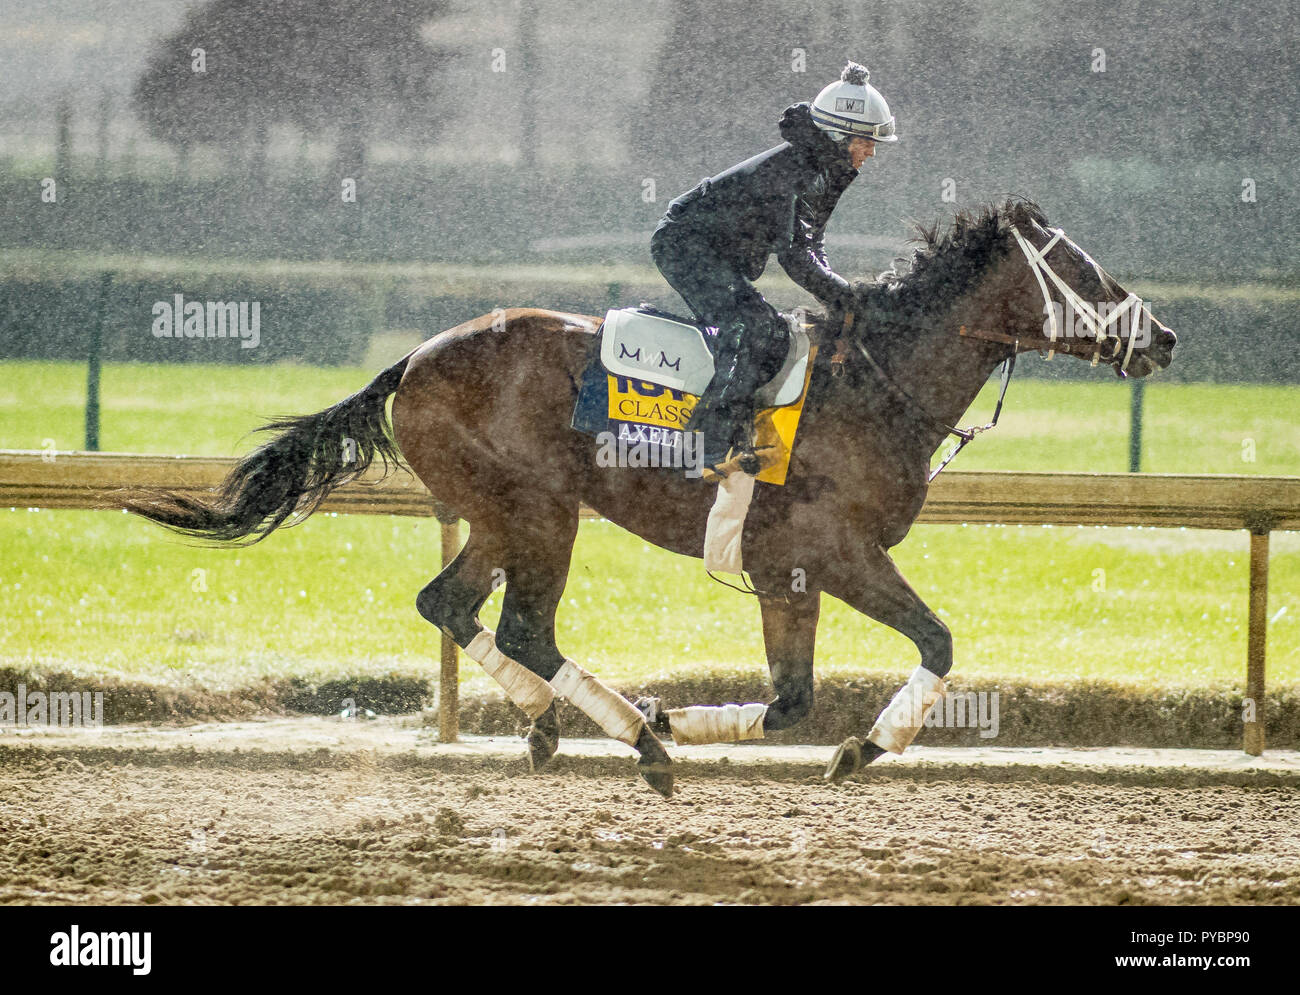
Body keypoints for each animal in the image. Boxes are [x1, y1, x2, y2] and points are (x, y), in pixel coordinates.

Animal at [122, 200, 1176, 798]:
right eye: (1079, 268)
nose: (1163, 336)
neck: (872, 381)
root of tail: (415, 358)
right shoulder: (834, 553)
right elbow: (936, 645)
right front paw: (854, 747)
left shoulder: (784, 570)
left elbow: (793, 700)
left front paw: (717, 727)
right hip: (539, 509)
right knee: (521, 627)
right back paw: (632, 737)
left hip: (506, 514)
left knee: (451, 604)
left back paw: (560, 726)